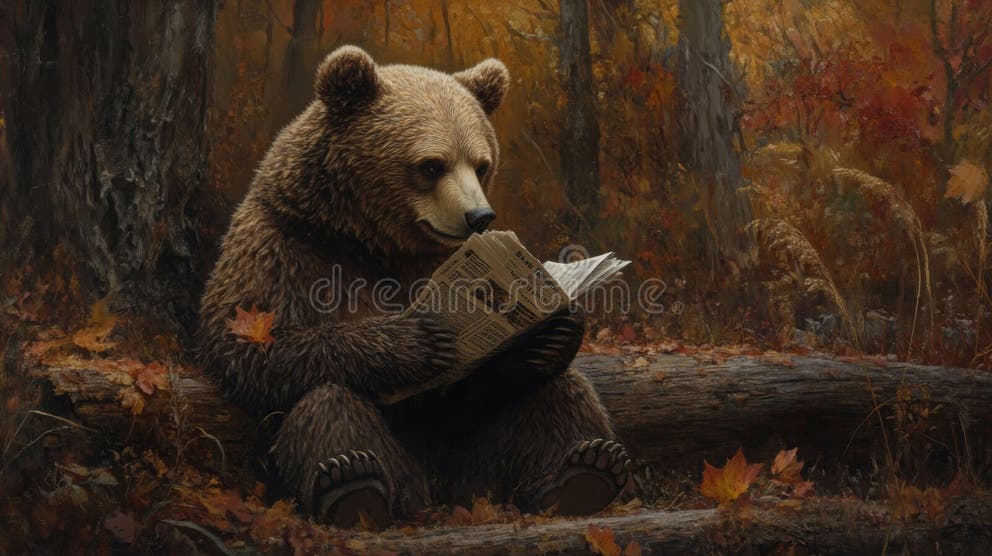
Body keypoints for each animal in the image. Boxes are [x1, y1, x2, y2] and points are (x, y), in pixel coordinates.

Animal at [198, 45, 630, 528]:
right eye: (431, 165)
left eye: (482, 164)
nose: (480, 217)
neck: (374, 241)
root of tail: (439, 498)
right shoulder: (284, 244)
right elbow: (252, 344)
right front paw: (418, 342)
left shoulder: (437, 262)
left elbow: (490, 381)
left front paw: (557, 332)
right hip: (405, 465)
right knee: (326, 402)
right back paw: (352, 482)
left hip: (479, 467)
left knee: (562, 392)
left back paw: (585, 468)